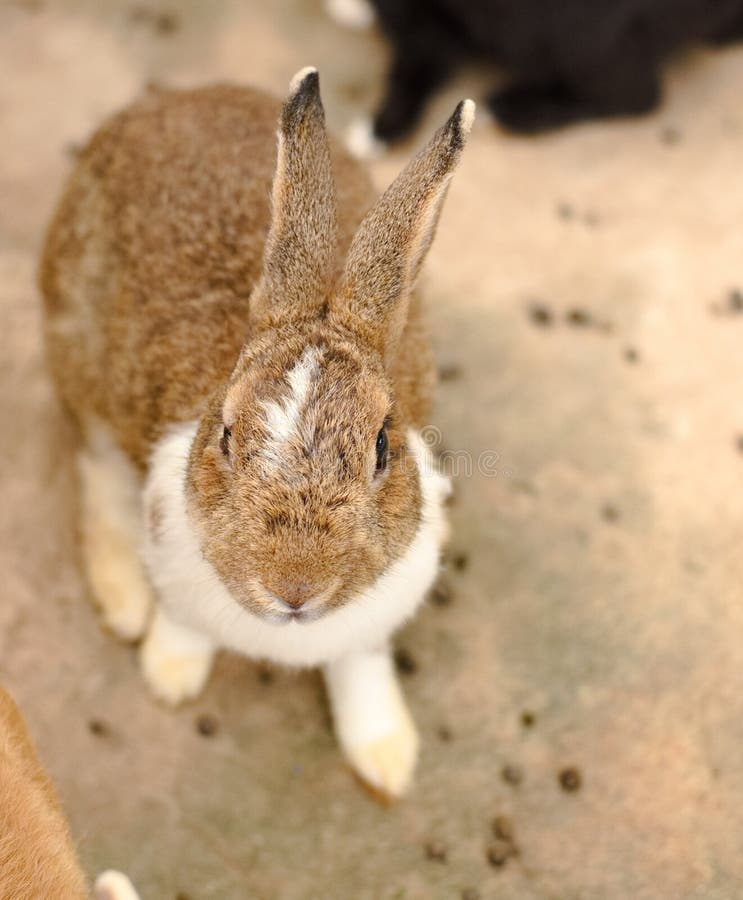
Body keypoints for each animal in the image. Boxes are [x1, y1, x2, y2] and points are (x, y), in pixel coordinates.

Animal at [40, 69, 474, 797]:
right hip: (84, 367)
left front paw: (387, 759)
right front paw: (170, 677)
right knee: (98, 475)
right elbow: (182, 628)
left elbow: (363, 671)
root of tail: (173, 100)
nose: (293, 587)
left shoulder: (370, 629)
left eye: (382, 447)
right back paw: (124, 603)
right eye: (225, 434)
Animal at [331, 0, 743, 147]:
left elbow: (410, 74)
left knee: (639, 98)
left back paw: (515, 111)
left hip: (574, 43)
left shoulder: (424, 23)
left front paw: (375, 133)